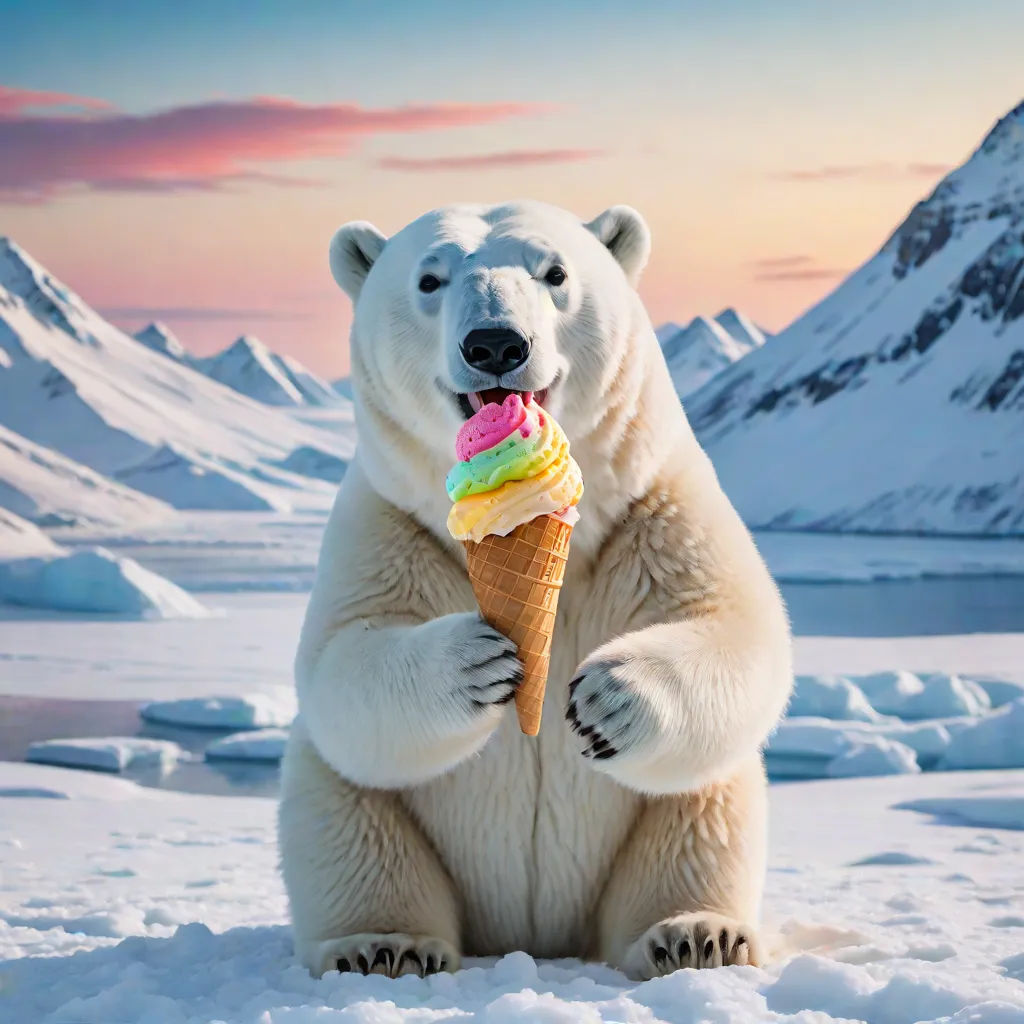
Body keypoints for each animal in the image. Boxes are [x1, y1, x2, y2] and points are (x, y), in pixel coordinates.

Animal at [278, 200, 792, 981]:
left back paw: (695, 934)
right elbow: (341, 661)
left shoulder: (654, 505)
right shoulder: (391, 521)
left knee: (700, 811)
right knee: (345, 813)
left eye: (554, 272)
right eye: (429, 278)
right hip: (360, 814)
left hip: (674, 820)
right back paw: (383, 944)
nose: (495, 344)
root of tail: (535, 934)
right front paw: (476, 663)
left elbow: (736, 624)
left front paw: (606, 699)